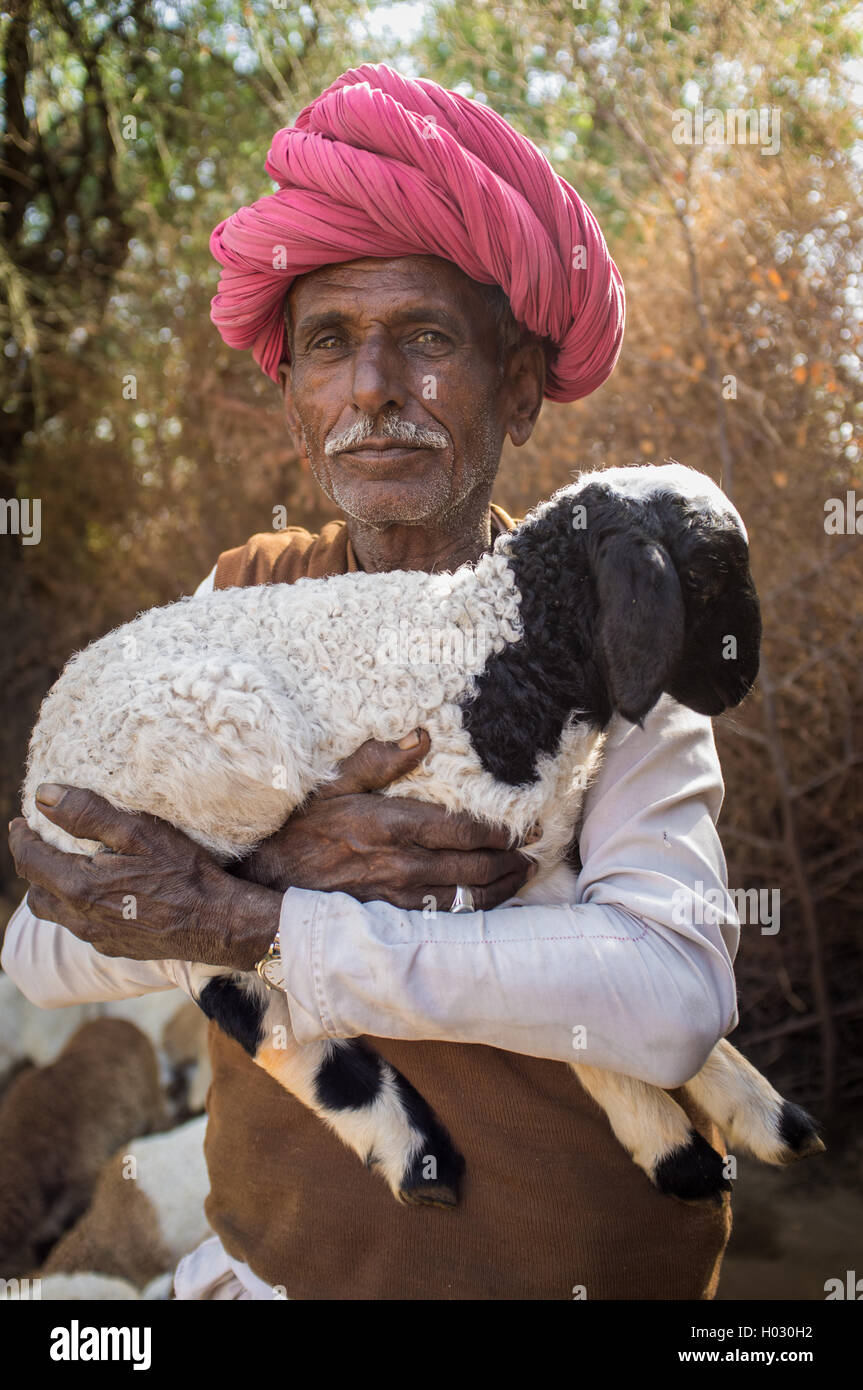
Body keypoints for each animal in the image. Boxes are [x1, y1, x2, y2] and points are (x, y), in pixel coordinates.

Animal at [22, 462, 824, 1209]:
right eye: (711, 570)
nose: (741, 685)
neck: (511, 655)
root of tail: (37, 766)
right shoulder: (458, 854)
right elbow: (562, 1017)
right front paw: (677, 1153)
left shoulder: (531, 858)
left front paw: (759, 1114)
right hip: (210, 778)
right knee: (242, 981)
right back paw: (415, 1151)